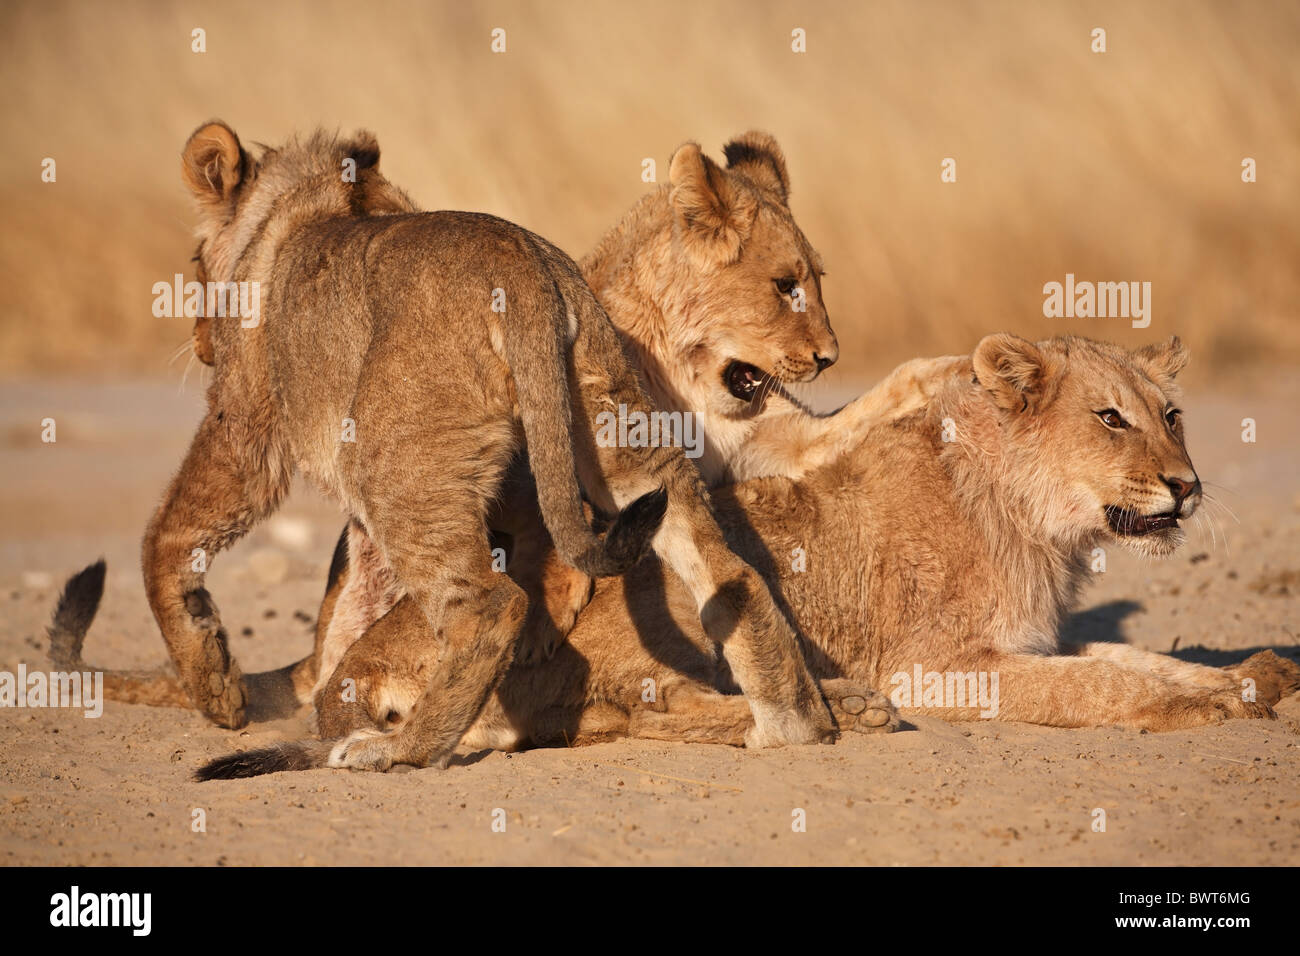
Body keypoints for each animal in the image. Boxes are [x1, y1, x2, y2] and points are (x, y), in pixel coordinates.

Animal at [58, 130, 950, 729]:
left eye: (811, 283)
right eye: (787, 286)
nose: (829, 355)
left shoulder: (769, 443)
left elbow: (862, 410)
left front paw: (942, 376)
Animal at [188, 333, 1300, 777]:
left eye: (1171, 415)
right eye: (1110, 418)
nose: (1188, 486)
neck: (1038, 517)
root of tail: (352, 665)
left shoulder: (1022, 641)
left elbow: (1130, 660)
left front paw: (1251, 678)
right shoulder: (941, 664)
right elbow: (1098, 688)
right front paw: (1205, 703)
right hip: (603, 583)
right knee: (628, 713)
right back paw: (839, 710)